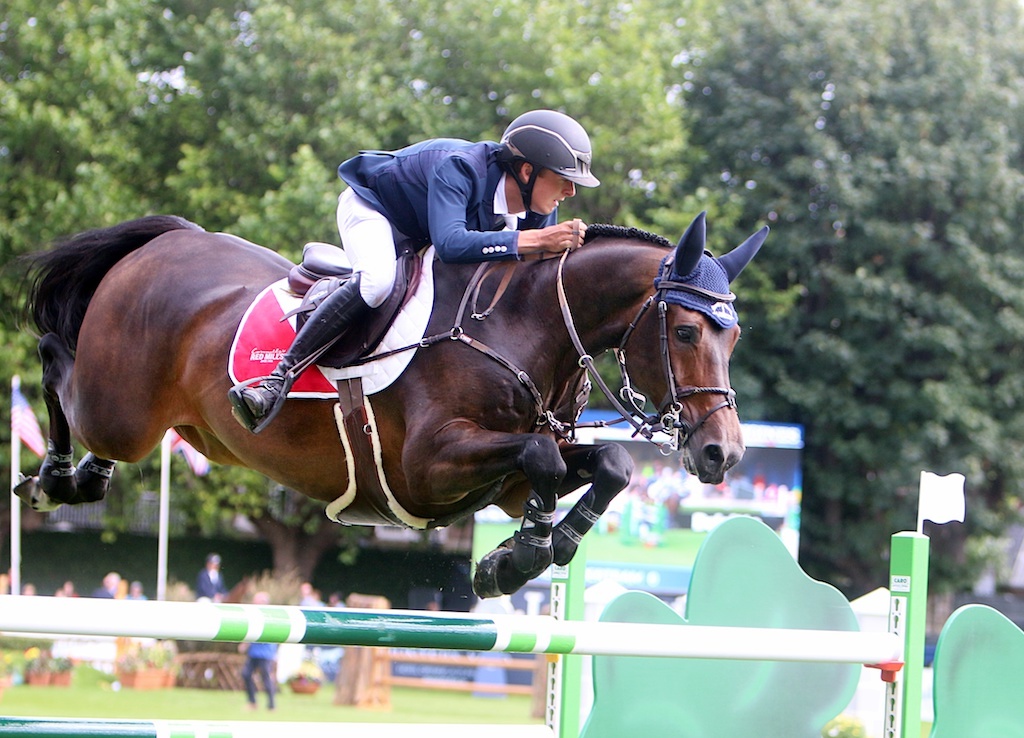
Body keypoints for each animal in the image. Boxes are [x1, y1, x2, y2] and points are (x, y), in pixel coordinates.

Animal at [15, 211, 767, 597]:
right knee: (56, 361)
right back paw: (53, 477)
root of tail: (170, 239)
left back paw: (84, 478)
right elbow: (543, 456)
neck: (521, 324)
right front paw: (518, 559)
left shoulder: (502, 483)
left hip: (180, 427)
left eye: (735, 334)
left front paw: (523, 554)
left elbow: (607, 464)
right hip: (121, 407)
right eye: (687, 331)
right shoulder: (429, 466)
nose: (722, 453)